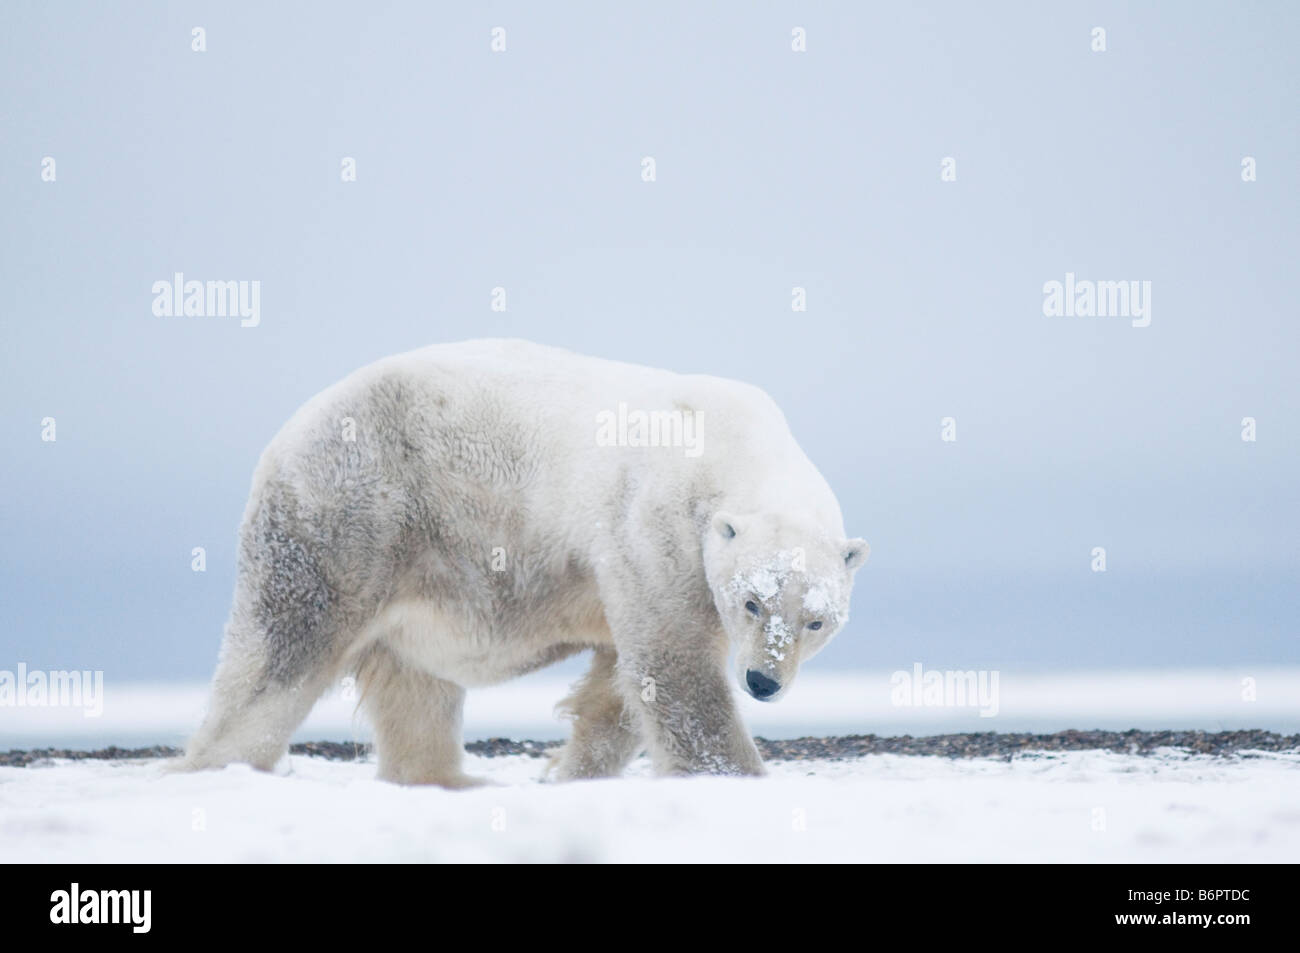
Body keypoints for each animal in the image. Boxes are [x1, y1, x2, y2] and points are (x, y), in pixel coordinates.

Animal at [180, 339, 868, 785]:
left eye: (815, 620)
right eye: (751, 602)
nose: (763, 681)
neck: (733, 444)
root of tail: (288, 432)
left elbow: (619, 680)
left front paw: (568, 769)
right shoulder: (656, 525)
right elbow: (674, 667)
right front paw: (734, 776)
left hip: (416, 554)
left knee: (414, 680)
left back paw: (448, 780)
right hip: (355, 513)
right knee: (284, 645)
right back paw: (222, 766)